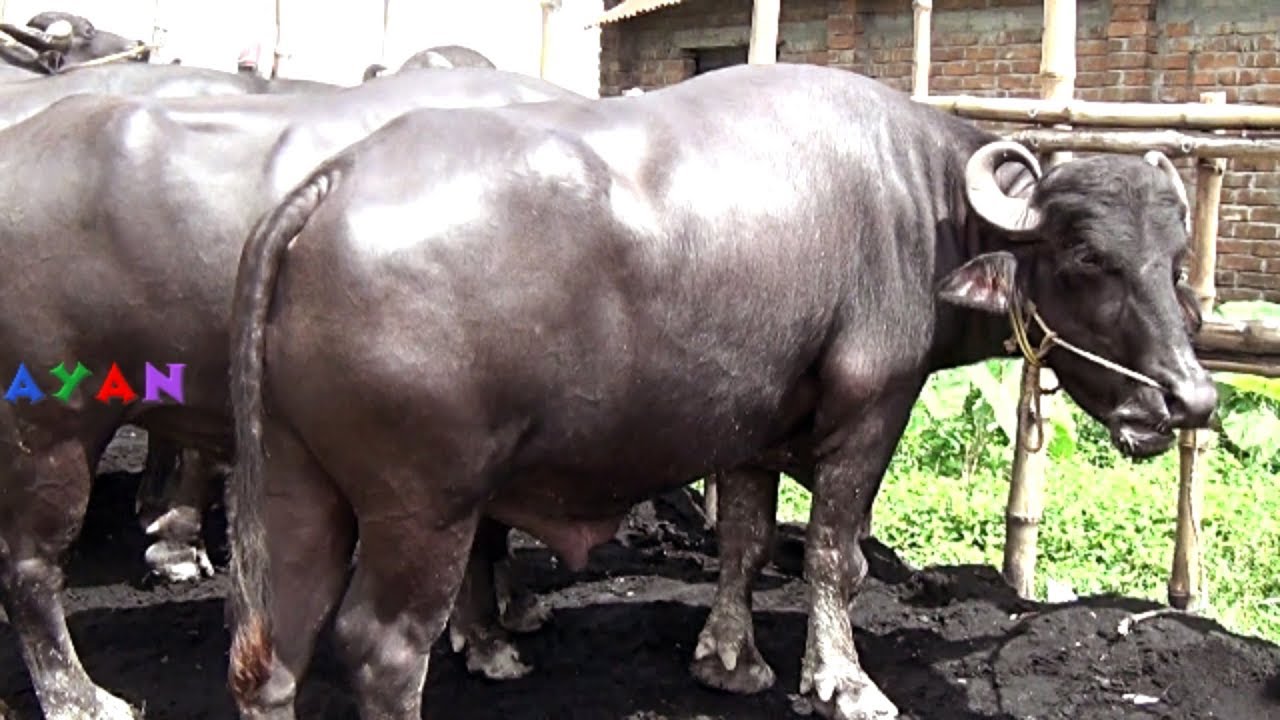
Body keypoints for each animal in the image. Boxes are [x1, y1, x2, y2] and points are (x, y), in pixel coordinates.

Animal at [224, 63, 1216, 720]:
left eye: (1173, 260)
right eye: (1086, 257)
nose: (1191, 401)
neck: (922, 207)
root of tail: (333, 183)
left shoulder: (753, 425)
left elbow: (744, 538)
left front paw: (729, 660)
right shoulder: (872, 408)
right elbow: (835, 554)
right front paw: (845, 682)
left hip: (296, 484)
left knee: (278, 648)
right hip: (424, 507)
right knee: (385, 650)